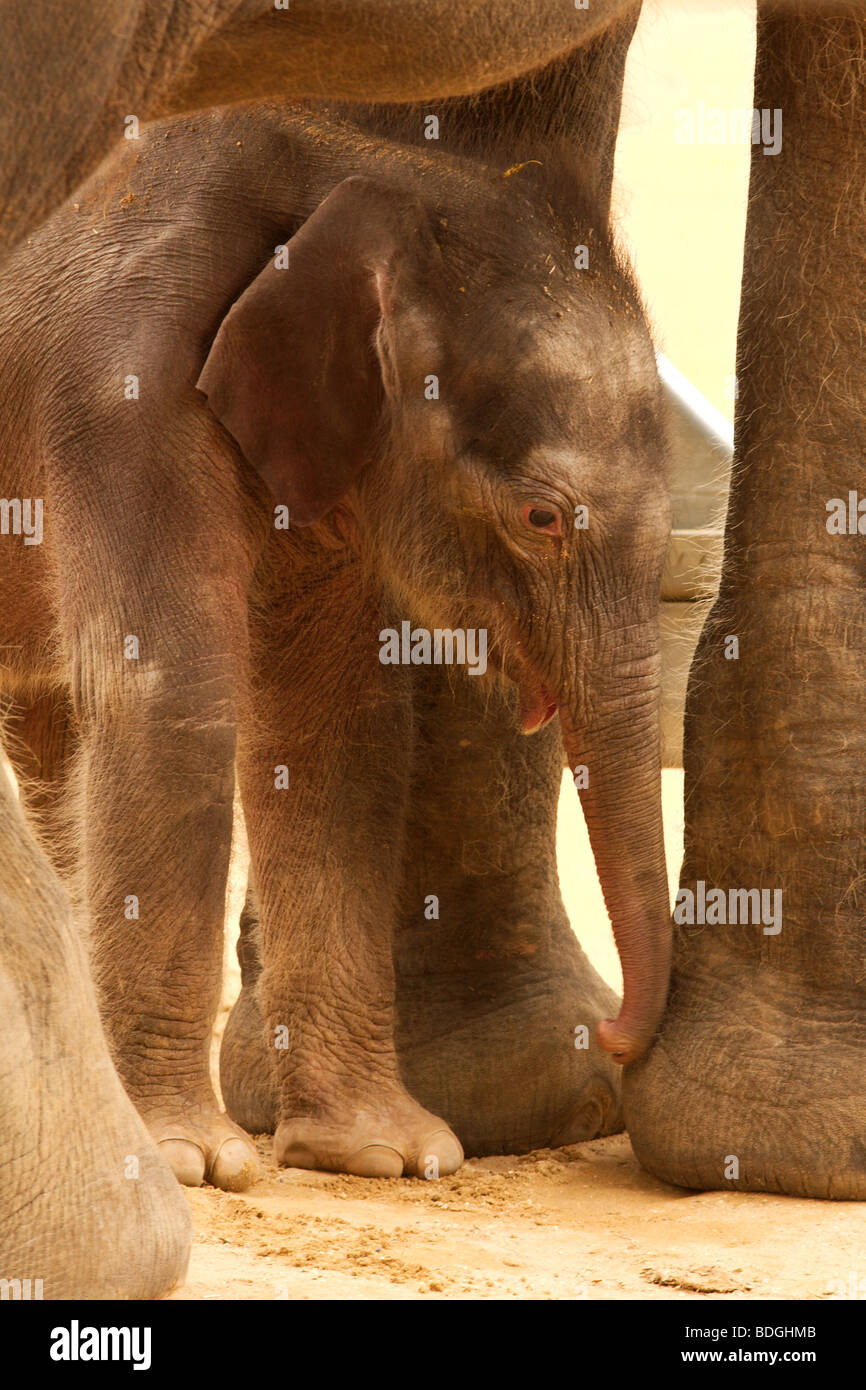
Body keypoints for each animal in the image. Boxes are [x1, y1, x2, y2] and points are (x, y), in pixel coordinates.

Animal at [0, 79, 671, 1189]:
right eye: (540, 516)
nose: (618, 1042)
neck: (362, 179)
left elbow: (333, 729)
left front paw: (388, 1153)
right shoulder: (116, 394)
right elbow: (172, 696)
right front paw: (193, 1162)